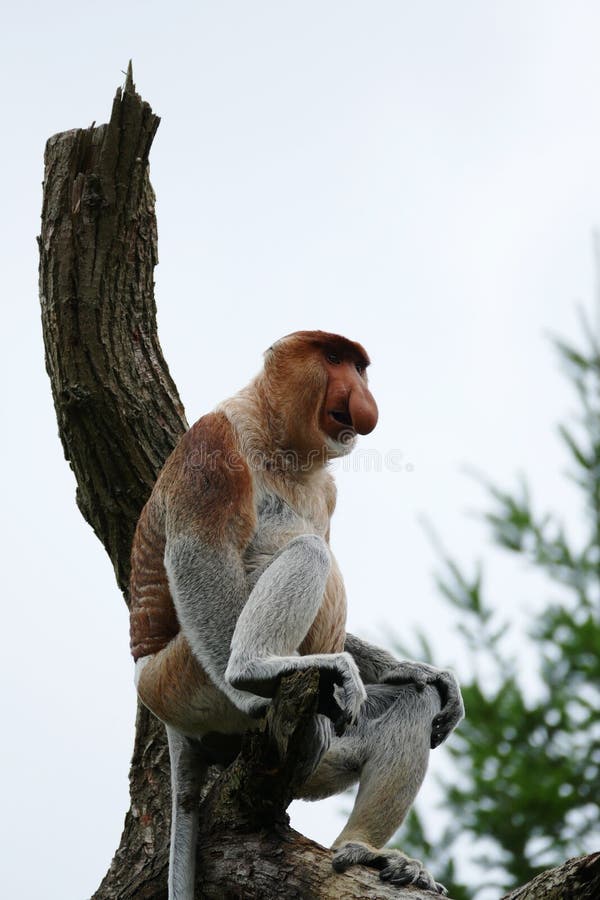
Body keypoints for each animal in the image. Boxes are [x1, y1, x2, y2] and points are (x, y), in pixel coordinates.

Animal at [129, 330, 464, 898]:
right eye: (332, 358)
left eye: (357, 365)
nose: (359, 394)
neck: (279, 442)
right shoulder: (213, 443)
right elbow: (200, 556)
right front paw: (249, 687)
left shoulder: (327, 490)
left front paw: (423, 672)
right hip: (182, 680)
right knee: (306, 551)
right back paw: (256, 672)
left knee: (408, 704)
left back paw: (364, 851)